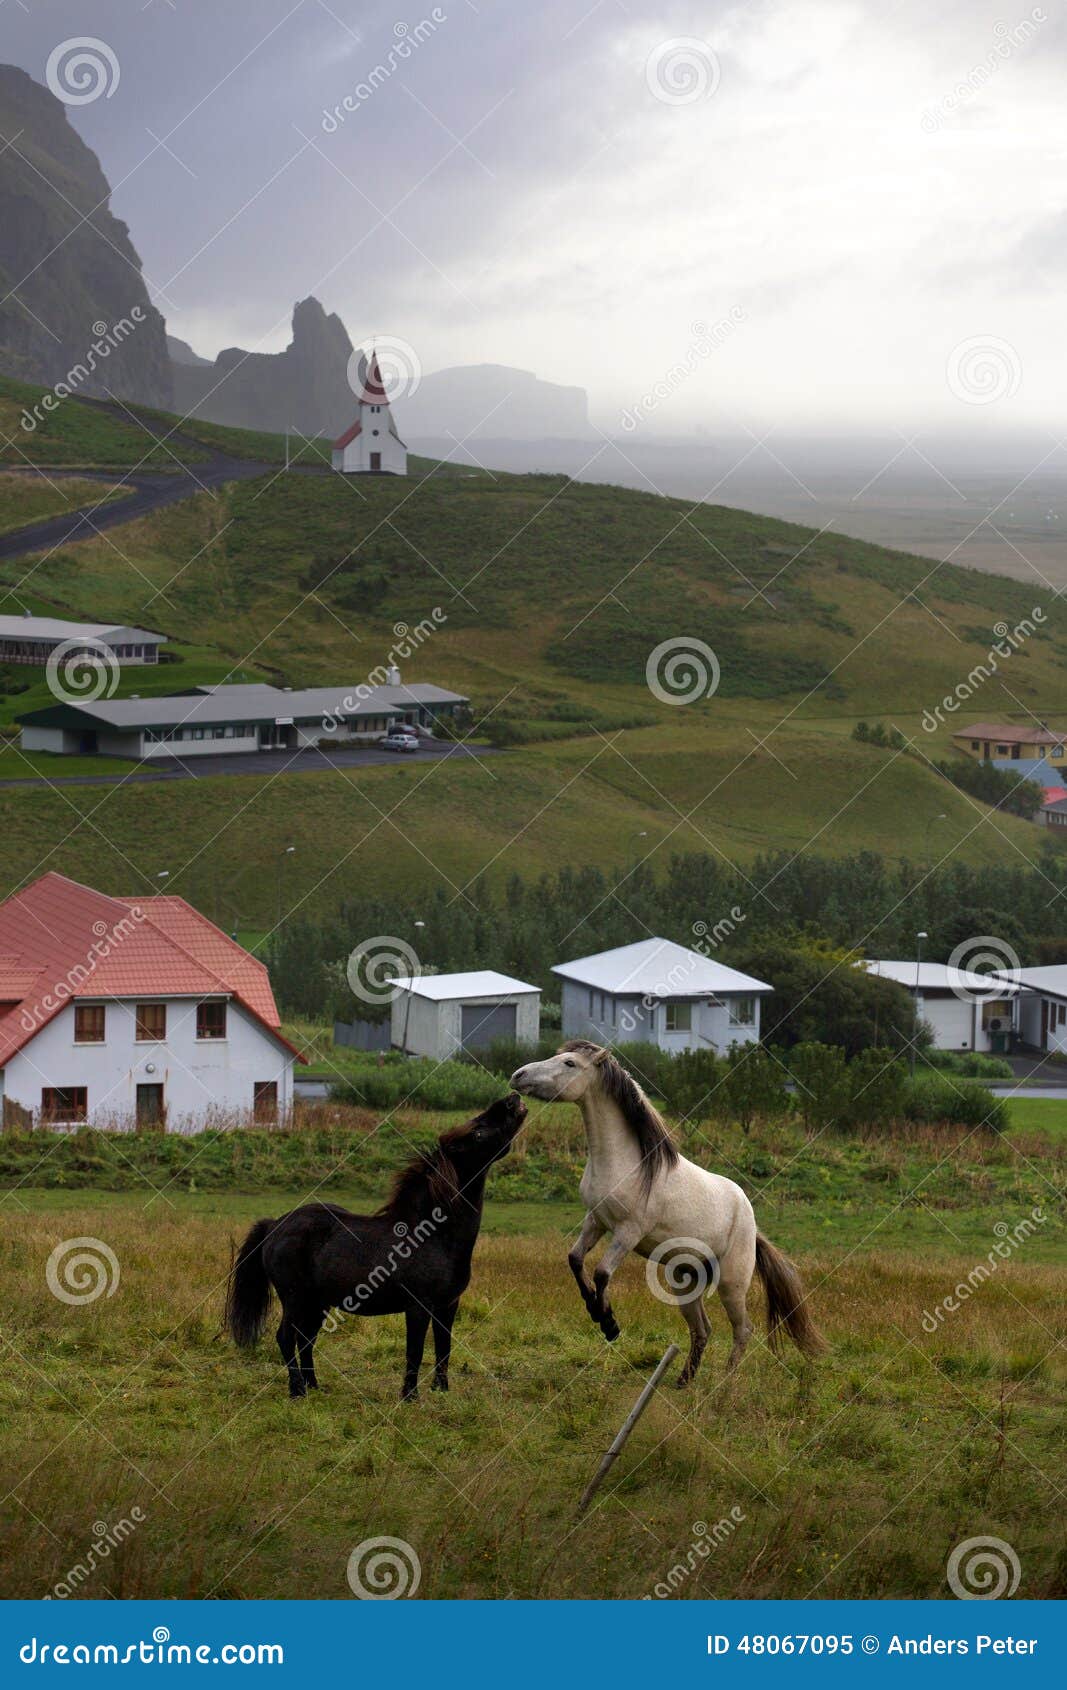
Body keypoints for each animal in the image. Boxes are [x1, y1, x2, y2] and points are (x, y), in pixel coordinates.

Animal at [225, 1091, 527, 1400]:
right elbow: (415, 1352)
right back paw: (297, 1390)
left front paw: (441, 1391)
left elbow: (444, 1349)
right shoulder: (418, 1306)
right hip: (295, 1298)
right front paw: (409, 1397)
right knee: (286, 1338)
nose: (513, 1098)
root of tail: (275, 1226)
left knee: (306, 1340)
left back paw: (314, 1386)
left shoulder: (448, 1305)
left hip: (316, 1302)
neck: (433, 1237)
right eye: (478, 1132)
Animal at [511, 1041, 824, 1384]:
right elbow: (575, 1259)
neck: (626, 1162)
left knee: (743, 1330)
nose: (518, 1075)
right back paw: (683, 1381)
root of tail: (751, 1224)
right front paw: (594, 1310)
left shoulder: (629, 1231)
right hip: (684, 1279)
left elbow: (603, 1272)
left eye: (569, 1063)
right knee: (702, 1328)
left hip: (732, 1283)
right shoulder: (596, 1220)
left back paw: (725, 1385)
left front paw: (609, 1324)